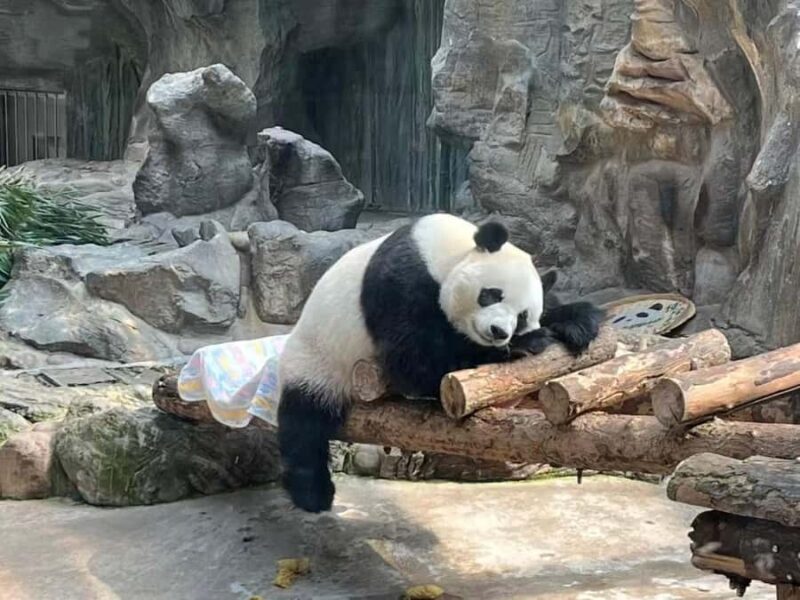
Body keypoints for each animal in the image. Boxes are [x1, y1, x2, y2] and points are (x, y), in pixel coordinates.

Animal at [277, 213, 603, 513]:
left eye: (522, 315)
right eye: (491, 294)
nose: (499, 332)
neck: (446, 252)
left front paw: (576, 321)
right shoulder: (401, 280)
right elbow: (413, 359)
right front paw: (525, 345)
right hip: (317, 360)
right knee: (305, 424)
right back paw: (313, 493)